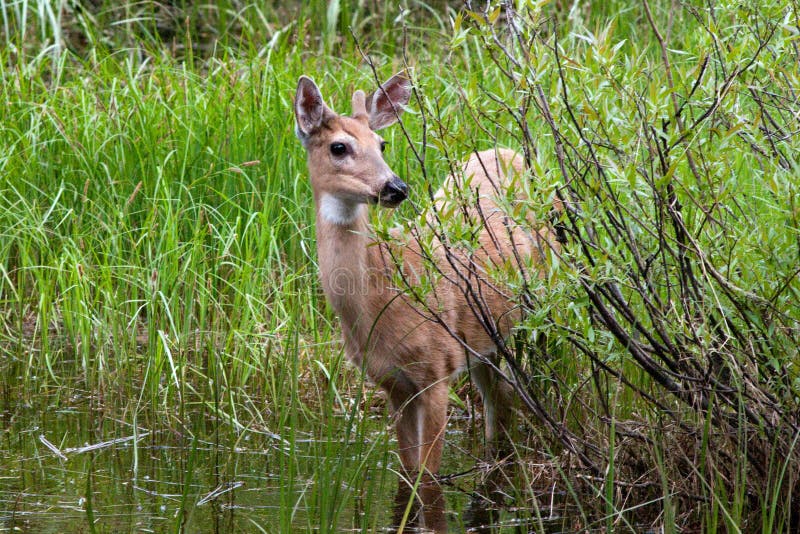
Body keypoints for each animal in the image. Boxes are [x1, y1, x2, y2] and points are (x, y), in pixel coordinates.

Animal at [293, 70, 559, 475]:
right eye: (339, 147)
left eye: (382, 143)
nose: (396, 187)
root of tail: (508, 152)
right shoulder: (392, 382)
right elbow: (409, 471)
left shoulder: (438, 367)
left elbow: (429, 476)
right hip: (485, 343)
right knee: (500, 405)